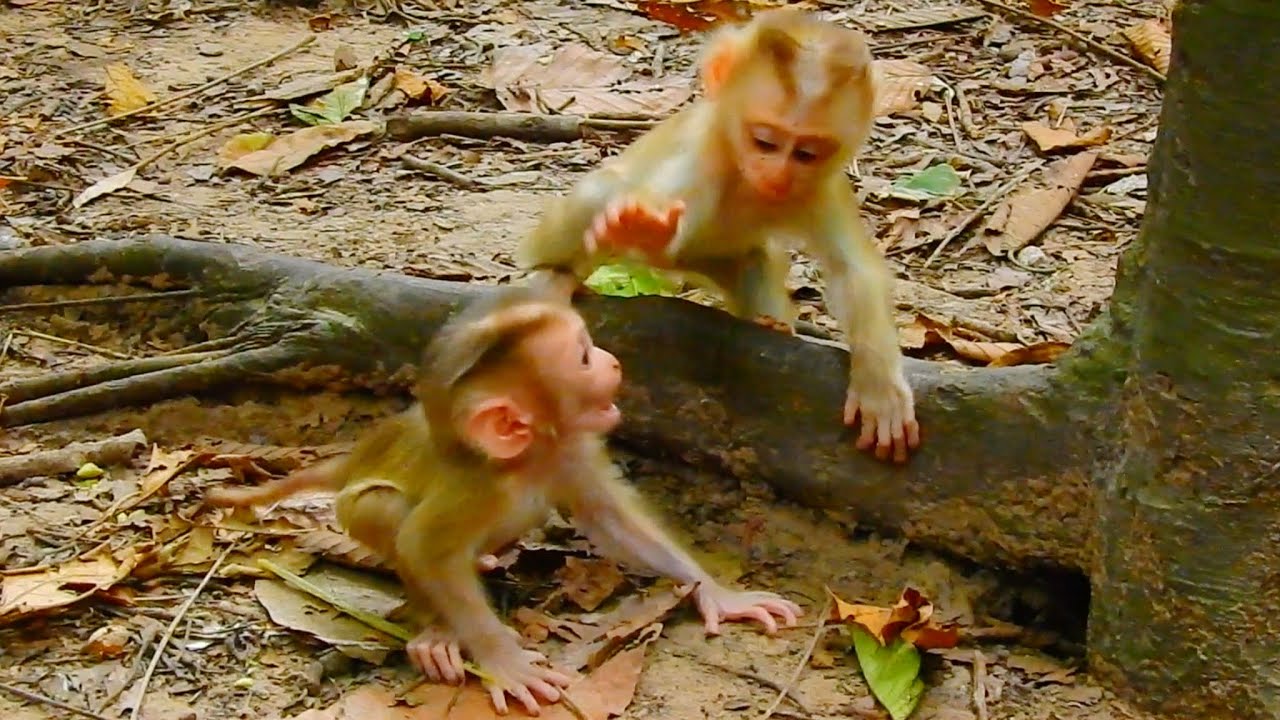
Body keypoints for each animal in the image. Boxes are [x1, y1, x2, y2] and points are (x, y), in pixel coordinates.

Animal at [205, 283, 802, 716]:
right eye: (583, 358)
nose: (612, 360)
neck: (527, 459)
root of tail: (355, 456)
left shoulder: (569, 453)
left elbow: (614, 519)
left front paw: (720, 595)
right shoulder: (480, 486)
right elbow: (422, 546)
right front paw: (505, 660)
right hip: (363, 503)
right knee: (386, 512)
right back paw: (439, 627)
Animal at [515, 8, 921, 464]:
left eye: (806, 153)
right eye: (764, 141)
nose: (777, 176)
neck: (743, 176)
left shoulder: (822, 185)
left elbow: (853, 271)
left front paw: (879, 386)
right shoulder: (696, 160)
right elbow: (643, 221)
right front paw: (642, 228)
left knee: (755, 261)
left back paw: (769, 323)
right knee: (598, 195)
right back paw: (555, 276)